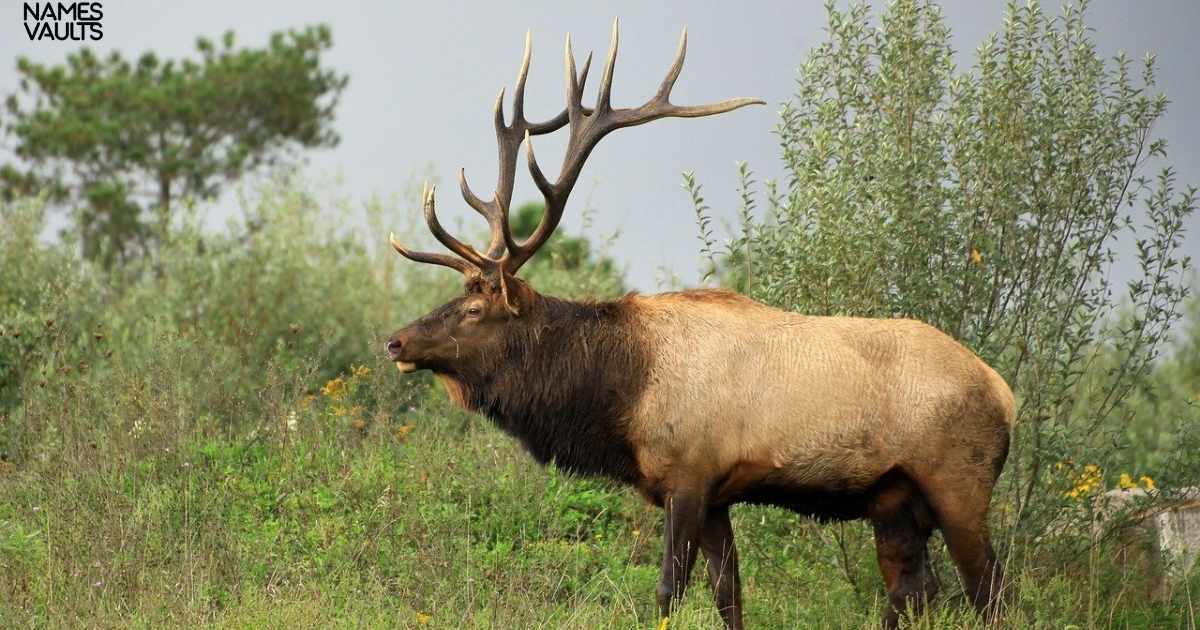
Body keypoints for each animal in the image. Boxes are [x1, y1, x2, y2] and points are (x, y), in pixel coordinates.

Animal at [385, 21, 1015, 629]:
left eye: (474, 310)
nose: (395, 340)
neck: (621, 394)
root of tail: (1005, 394)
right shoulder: (716, 496)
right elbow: (728, 594)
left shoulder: (688, 474)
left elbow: (669, 591)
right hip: (895, 501)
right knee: (913, 589)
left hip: (958, 485)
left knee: (990, 592)